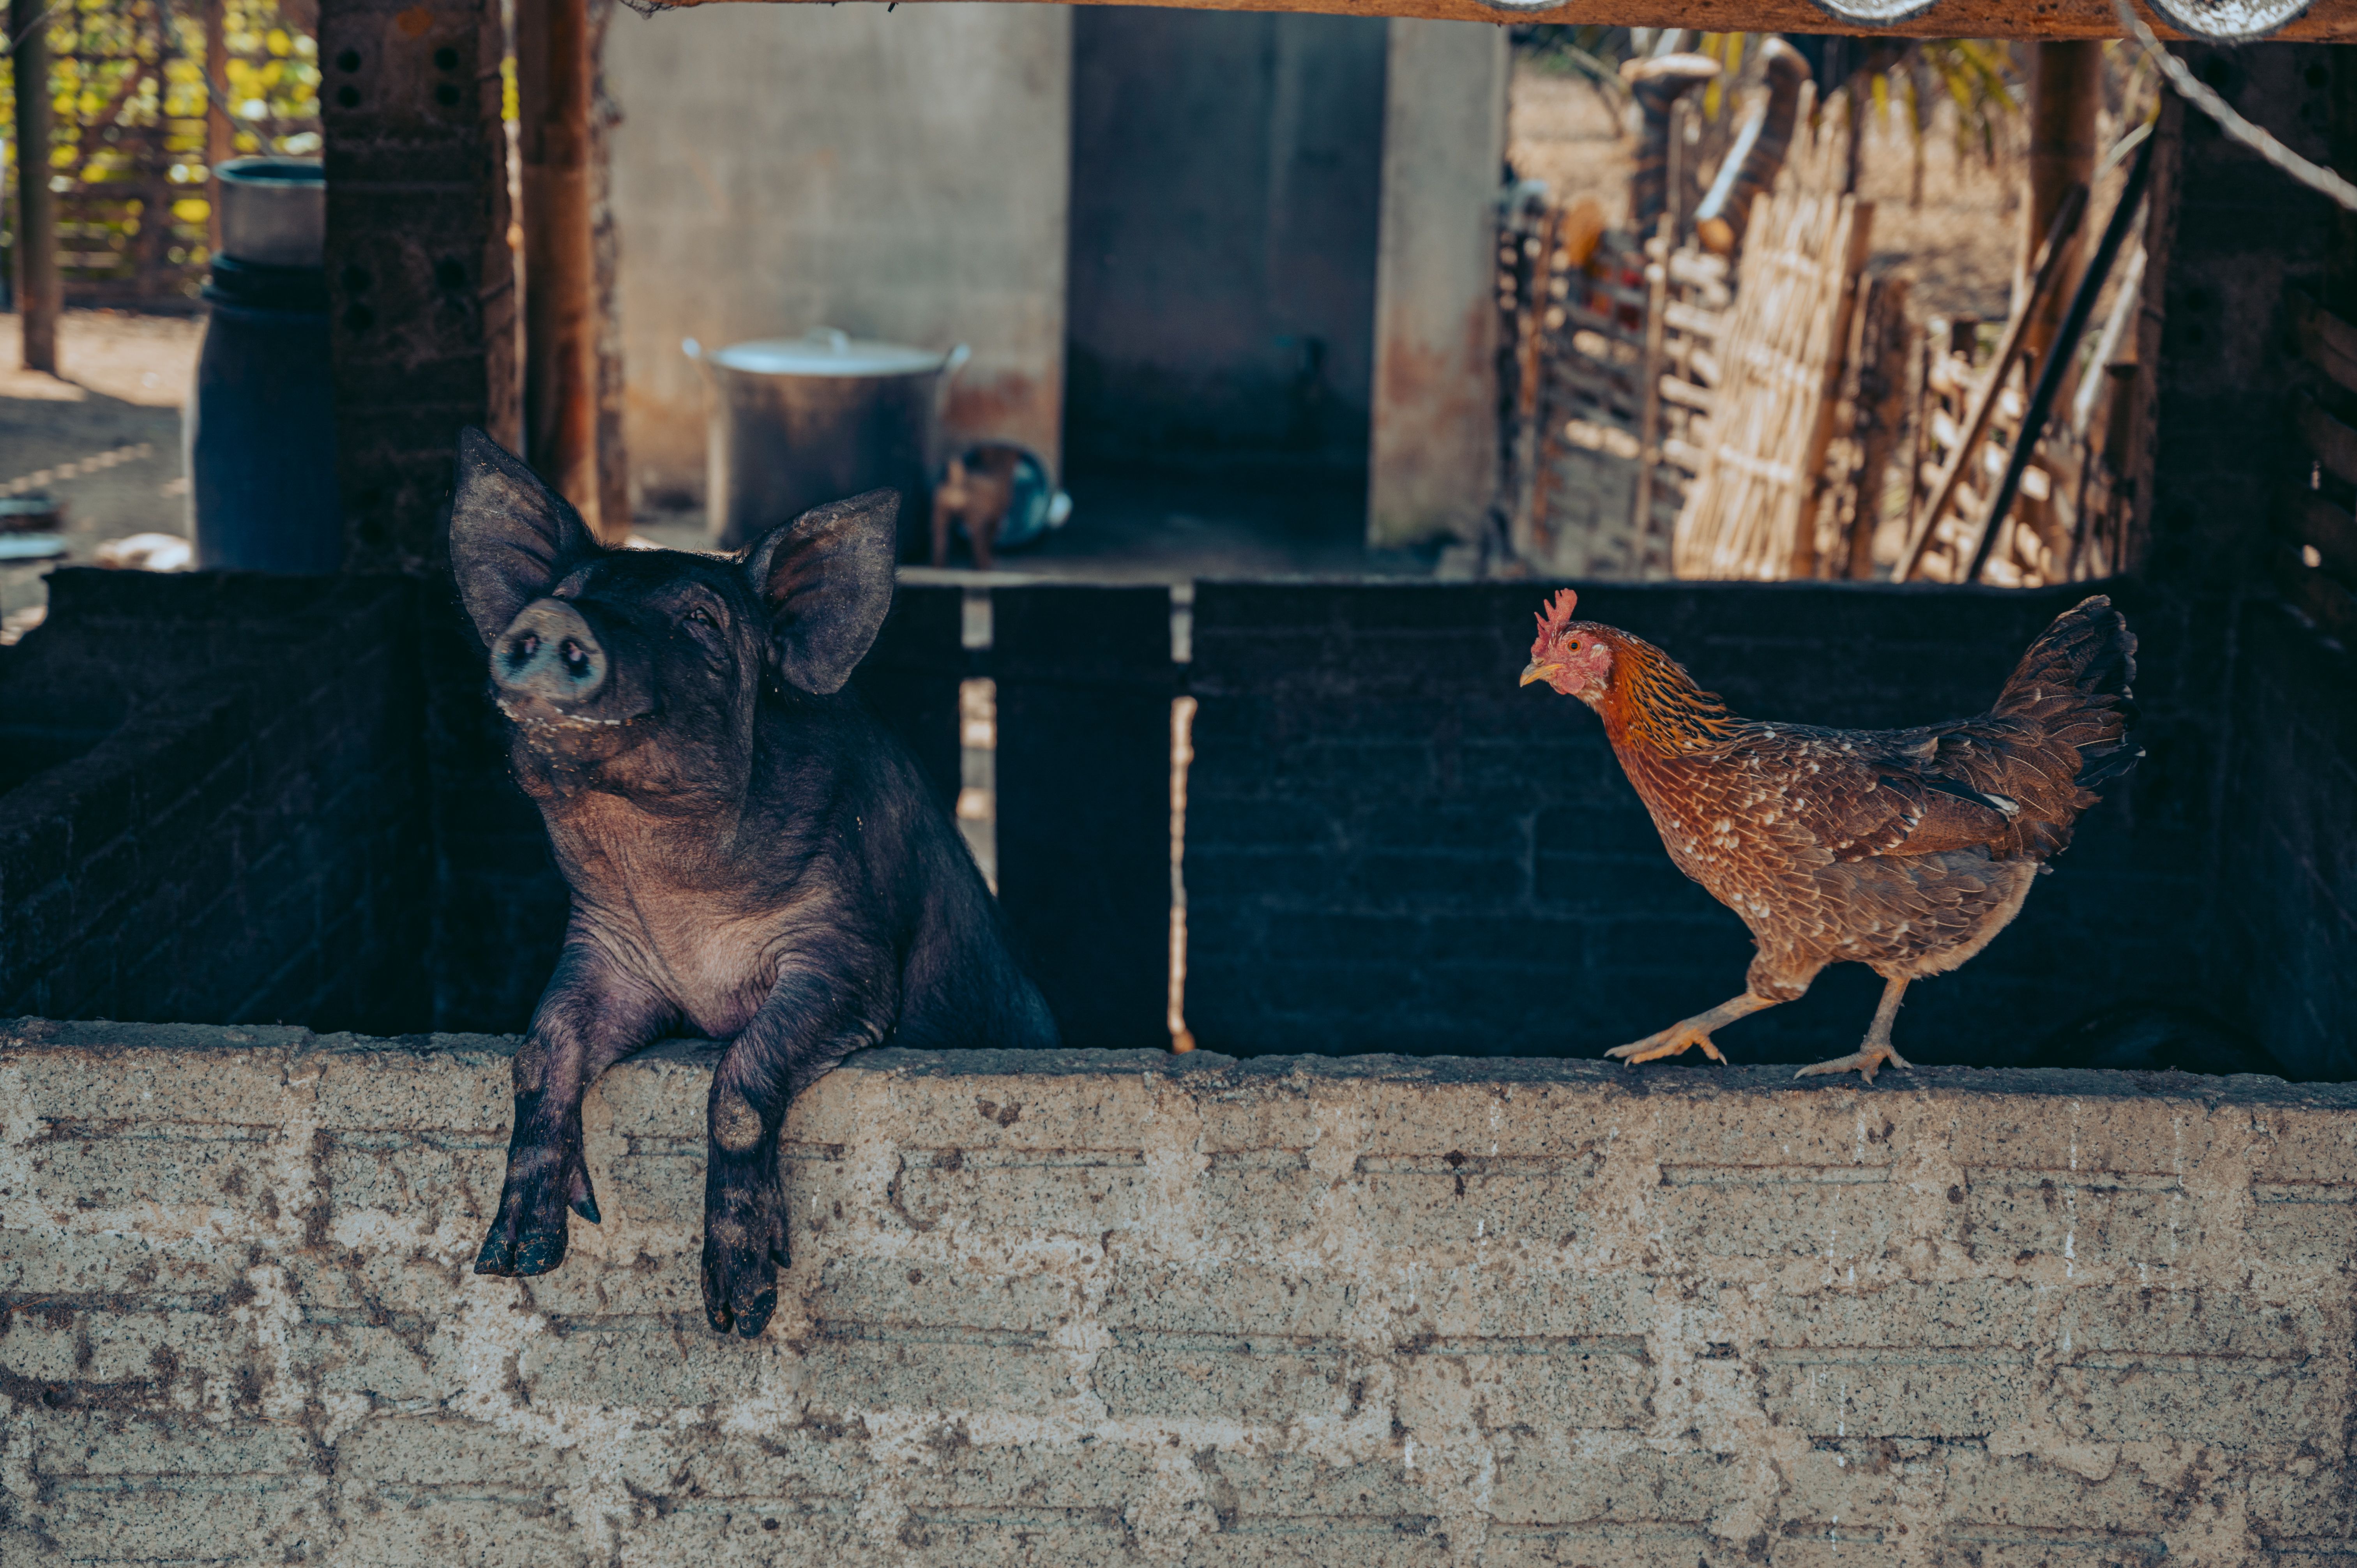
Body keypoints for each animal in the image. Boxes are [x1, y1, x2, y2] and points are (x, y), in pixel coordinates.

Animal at [448, 427, 1058, 1337]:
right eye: (571, 592)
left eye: (701, 619)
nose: (554, 617)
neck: (680, 910)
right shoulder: (605, 948)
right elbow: (537, 1049)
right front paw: (514, 1257)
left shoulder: (848, 957)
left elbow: (738, 1079)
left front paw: (740, 1311)